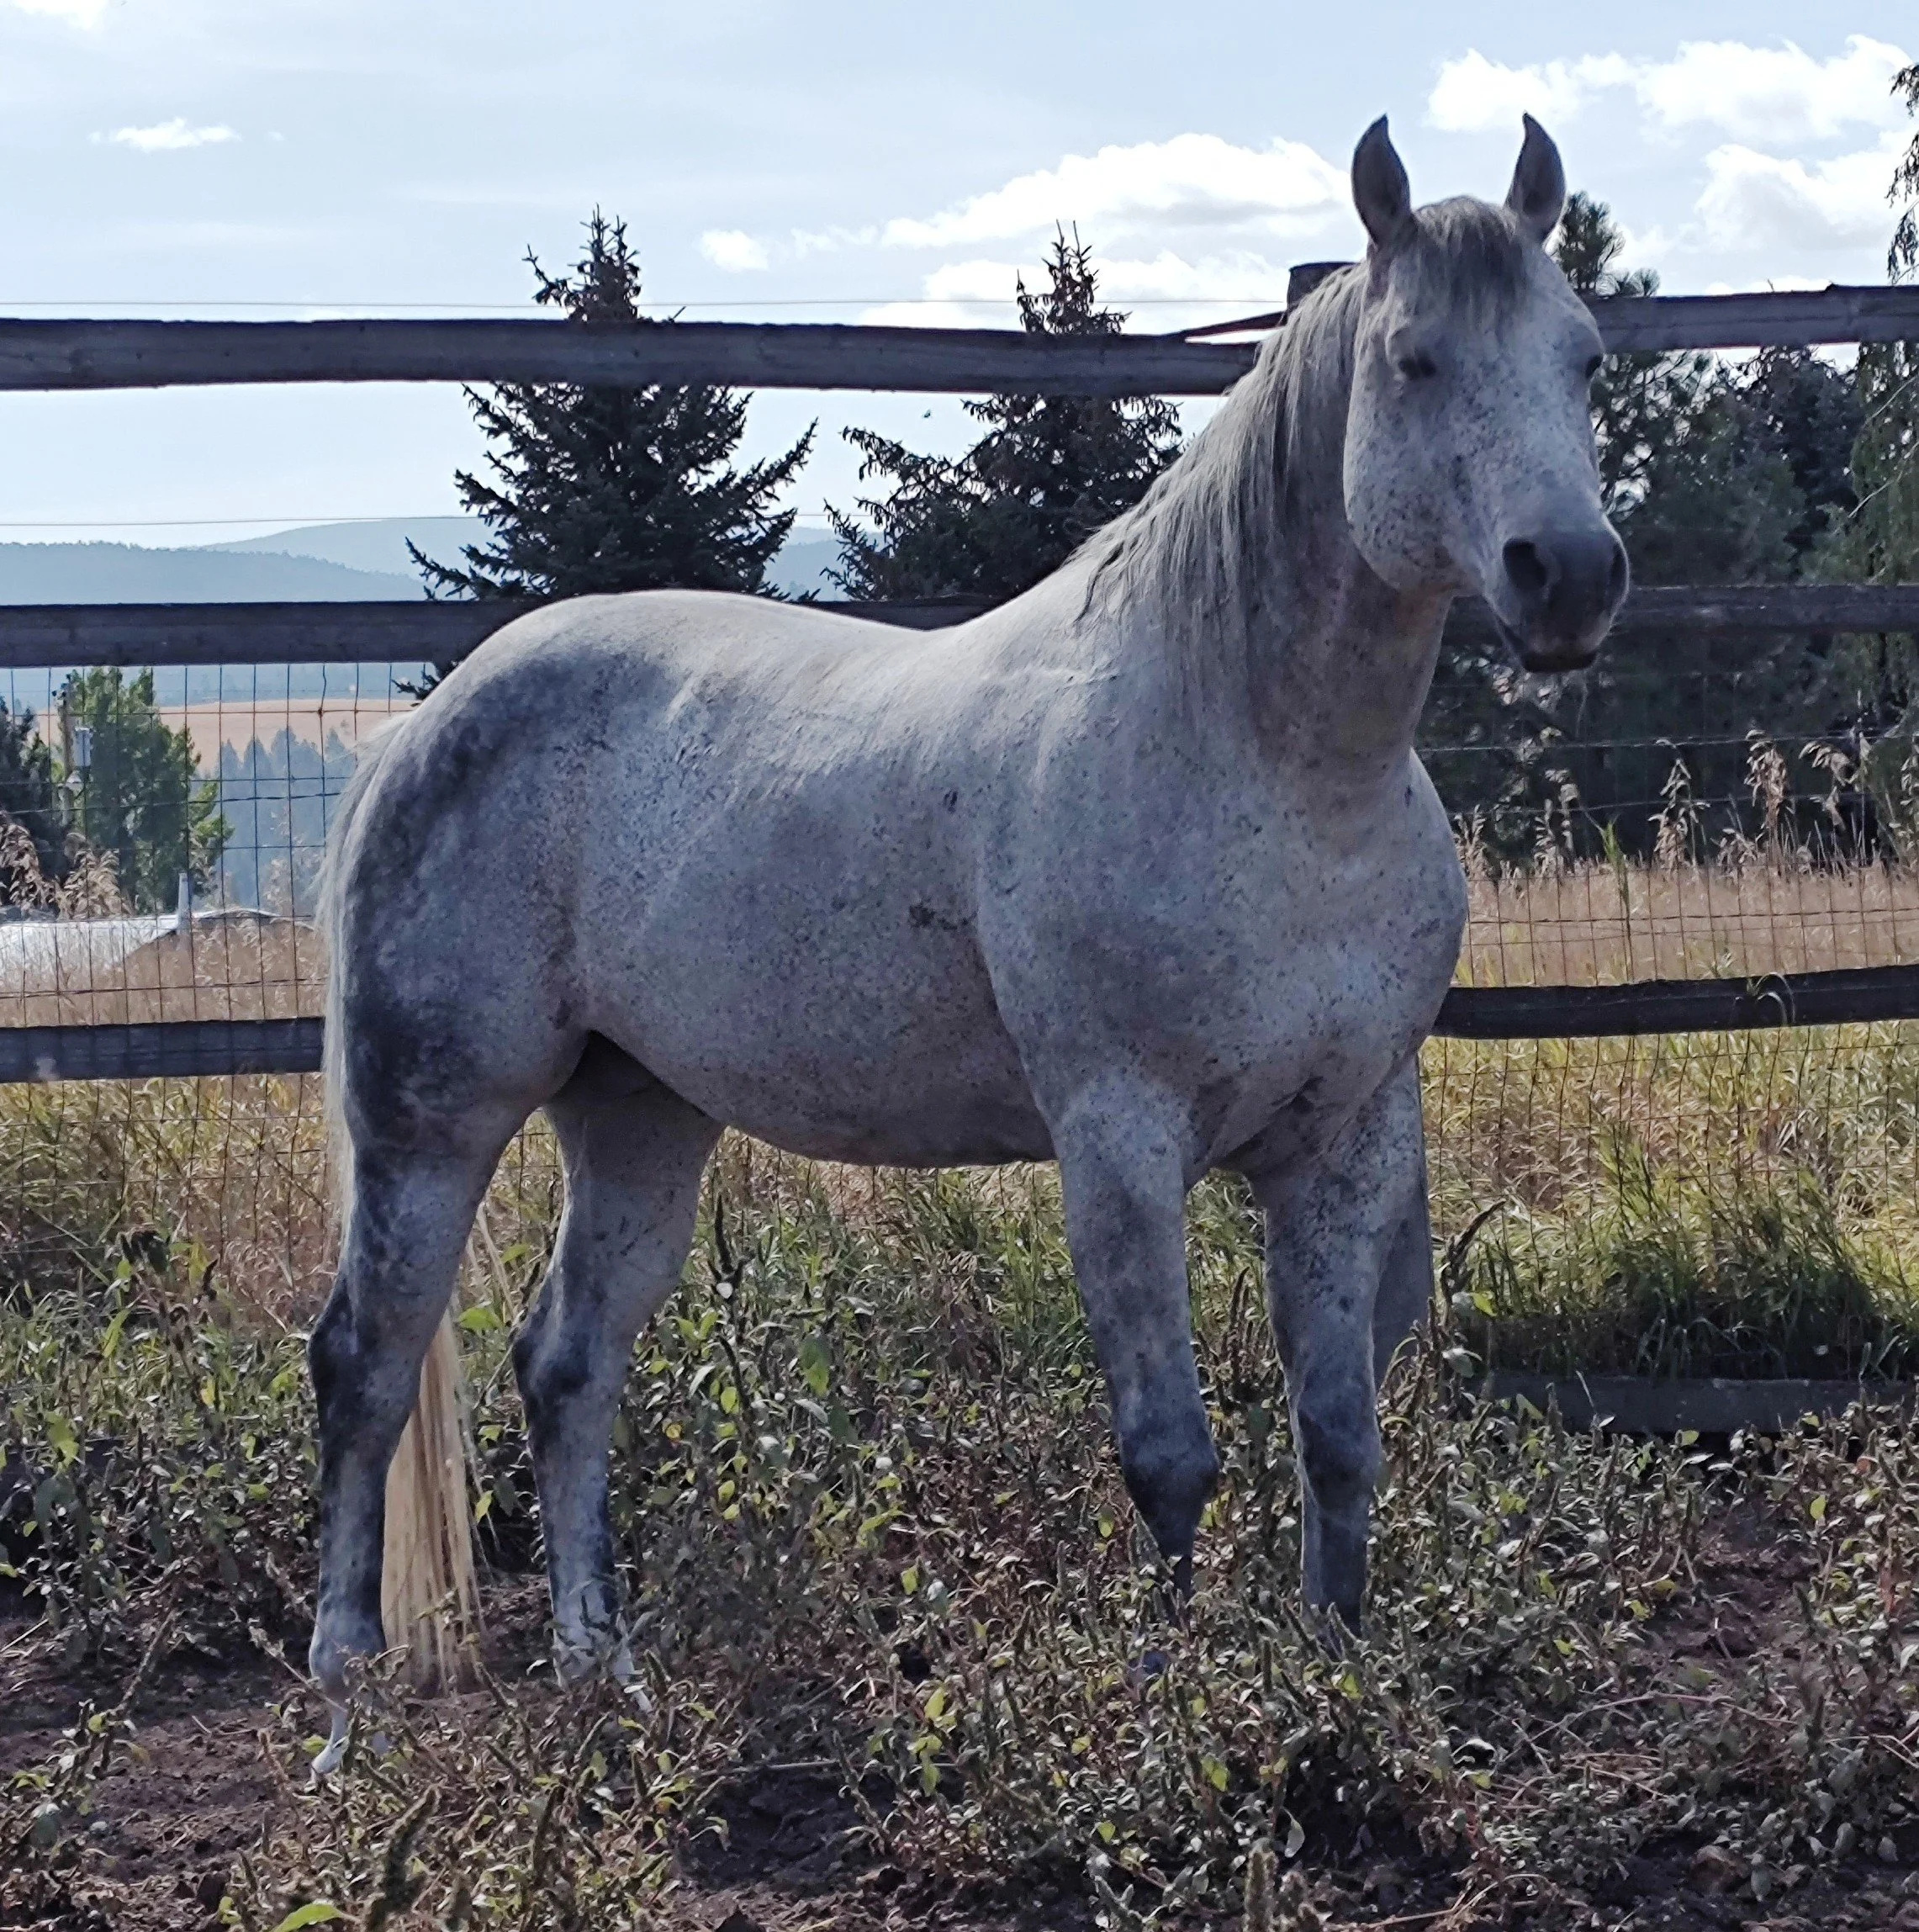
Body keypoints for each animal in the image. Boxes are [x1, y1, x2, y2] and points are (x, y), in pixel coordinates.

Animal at [306, 113, 1625, 1766]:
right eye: (1413, 360)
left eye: (1582, 354)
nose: (1567, 575)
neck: (1268, 767)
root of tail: (426, 723)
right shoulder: (1117, 1140)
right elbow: (1169, 1452)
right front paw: (1171, 1706)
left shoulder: (1345, 1137)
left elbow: (1336, 1436)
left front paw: (1335, 1690)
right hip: (430, 1121)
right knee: (364, 1369)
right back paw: (347, 1703)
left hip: (638, 1115)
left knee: (566, 1368)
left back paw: (600, 1665)